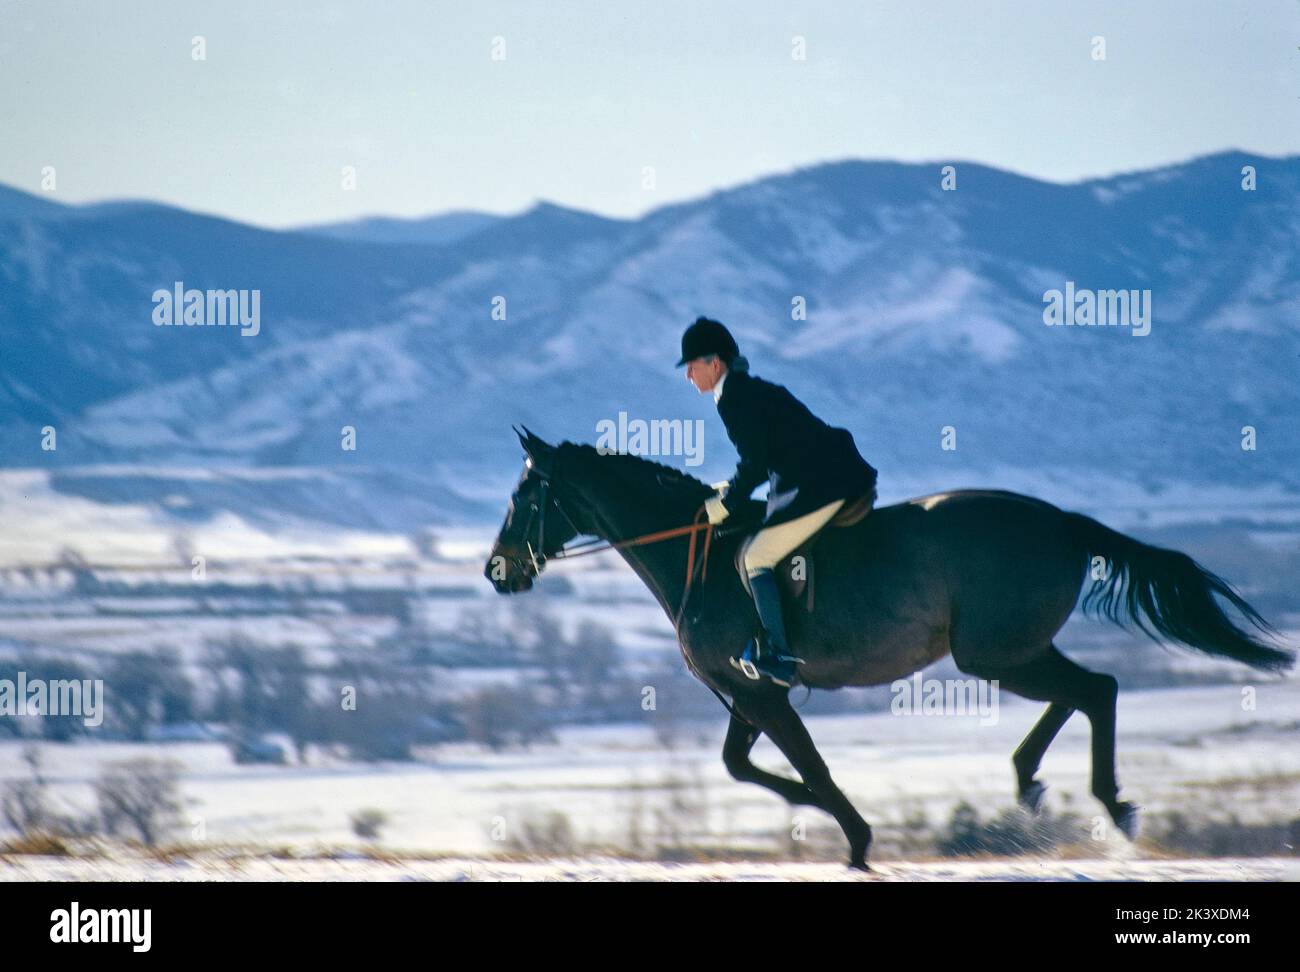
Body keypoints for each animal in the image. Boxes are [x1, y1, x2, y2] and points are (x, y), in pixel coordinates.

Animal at [484, 428, 1295, 869]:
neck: (700, 557)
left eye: (524, 496)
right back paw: (1037, 783)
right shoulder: (747, 694)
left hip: (994, 654)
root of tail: (1062, 522)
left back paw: (1101, 801)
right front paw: (824, 812)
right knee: (1090, 691)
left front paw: (856, 837)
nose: (497, 570)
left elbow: (803, 764)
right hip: (1008, 651)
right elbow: (740, 765)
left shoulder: (760, 692)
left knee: (1097, 689)